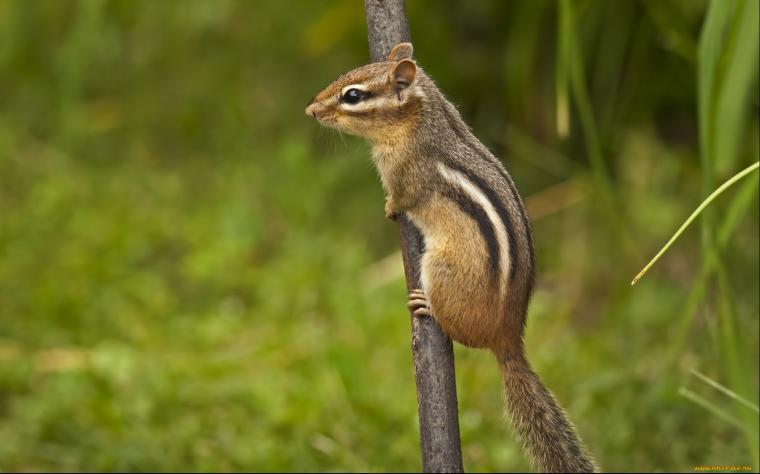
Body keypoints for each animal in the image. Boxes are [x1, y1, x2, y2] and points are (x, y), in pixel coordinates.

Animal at [306, 42, 598, 473]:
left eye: (353, 96)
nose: (311, 109)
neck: (421, 119)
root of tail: (508, 337)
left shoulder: (404, 173)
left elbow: (402, 197)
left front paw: (390, 208)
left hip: (441, 268)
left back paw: (426, 305)